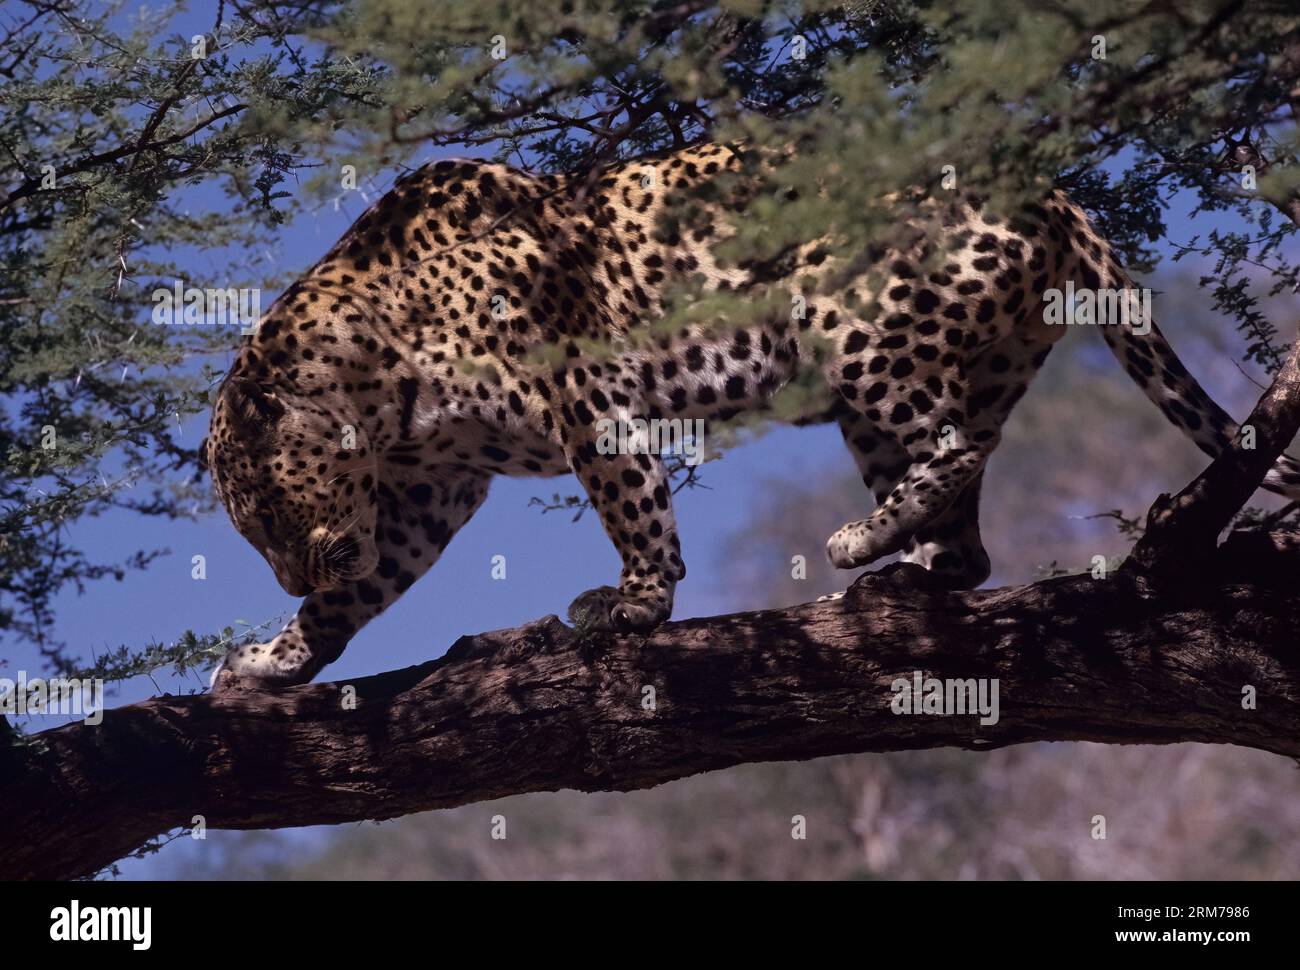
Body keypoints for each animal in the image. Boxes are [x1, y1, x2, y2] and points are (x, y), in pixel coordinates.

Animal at [204, 140, 1300, 690]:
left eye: (269, 512)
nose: (284, 571)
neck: (374, 376)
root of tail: (1042, 183)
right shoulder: (430, 491)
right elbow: (363, 585)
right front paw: (278, 656)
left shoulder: (584, 387)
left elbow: (631, 503)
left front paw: (636, 604)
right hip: (938, 364)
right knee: (972, 506)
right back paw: (910, 566)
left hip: (846, 317)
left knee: (957, 442)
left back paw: (863, 540)